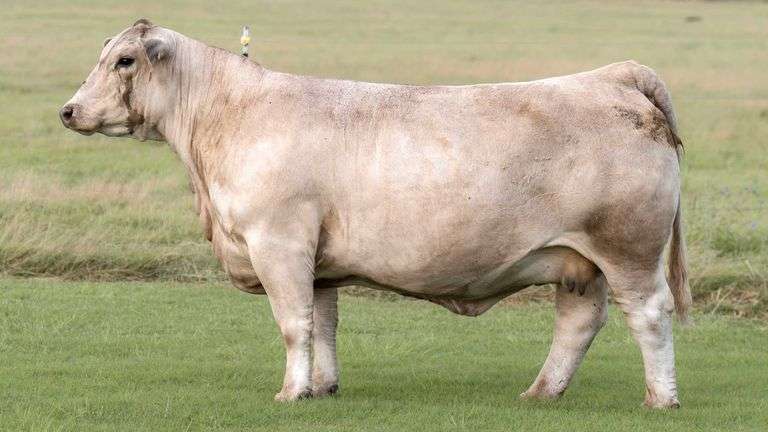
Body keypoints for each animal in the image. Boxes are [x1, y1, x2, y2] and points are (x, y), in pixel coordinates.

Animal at [60, 19, 691, 408]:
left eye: (123, 60)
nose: (68, 111)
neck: (225, 118)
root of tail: (612, 75)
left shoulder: (277, 241)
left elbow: (293, 324)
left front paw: (290, 393)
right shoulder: (317, 261)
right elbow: (323, 322)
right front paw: (321, 387)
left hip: (628, 250)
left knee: (649, 316)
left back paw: (661, 398)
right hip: (579, 263)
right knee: (578, 322)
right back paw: (541, 392)